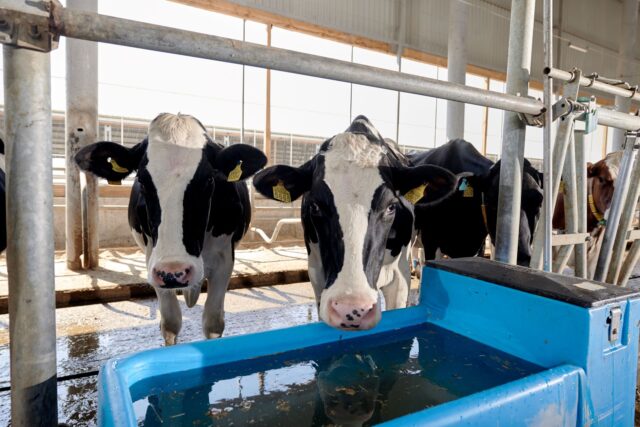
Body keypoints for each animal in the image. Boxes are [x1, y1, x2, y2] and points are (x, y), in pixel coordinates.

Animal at [75, 113, 267, 345]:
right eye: (141, 180)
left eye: (209, 179)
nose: (175, 272)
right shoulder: (154, 262)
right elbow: (170, 323)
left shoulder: (224, 259)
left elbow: (213, 322)